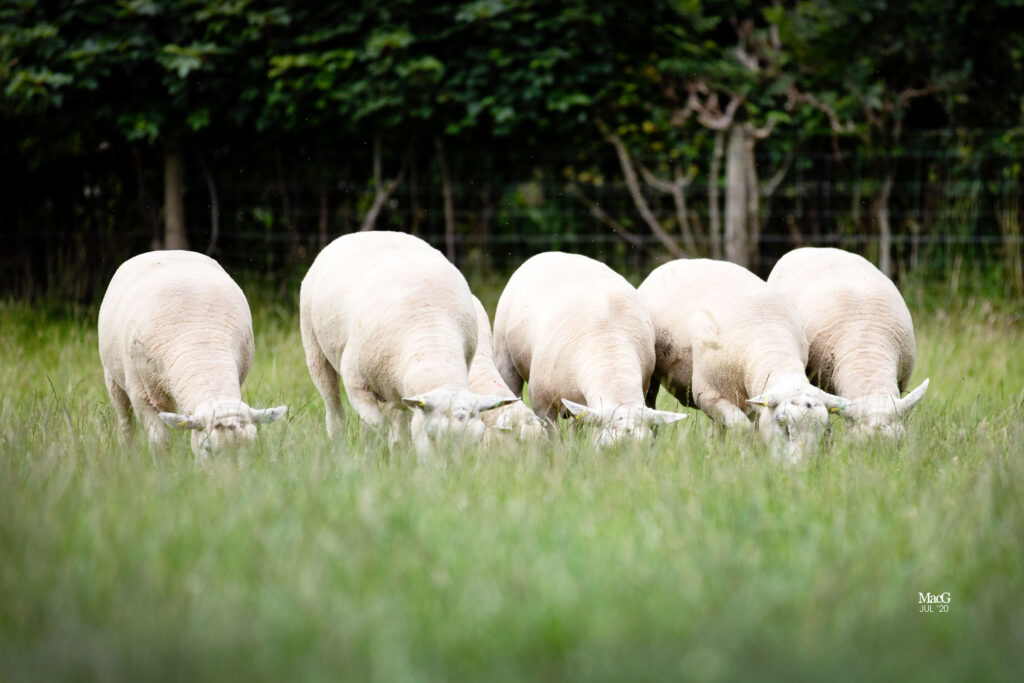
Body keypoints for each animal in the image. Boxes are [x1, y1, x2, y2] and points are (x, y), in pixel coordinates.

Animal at [97, 250, 287, 458]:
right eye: (208, 448)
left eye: (251, 447)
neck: (202, 346)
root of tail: (166, 252)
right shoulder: (140, 394)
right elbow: (159, 441)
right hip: (112, 377)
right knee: (125, 421)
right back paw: (128, 454)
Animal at [299, 231, 517, 454]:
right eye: (431, 435)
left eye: (476, 440)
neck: (430, 337)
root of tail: (365, 233)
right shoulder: (356, 383)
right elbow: (377, 425)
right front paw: (373, 453)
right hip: (315, 349)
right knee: (333, 407)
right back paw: (338, 446)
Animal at [638, 258, 848, 462]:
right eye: (782, 423)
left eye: (822, 430)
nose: (799, 468)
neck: (770, 343)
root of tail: (675, 262)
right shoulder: (707, 395)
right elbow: (742, 428)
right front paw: (746, 460)